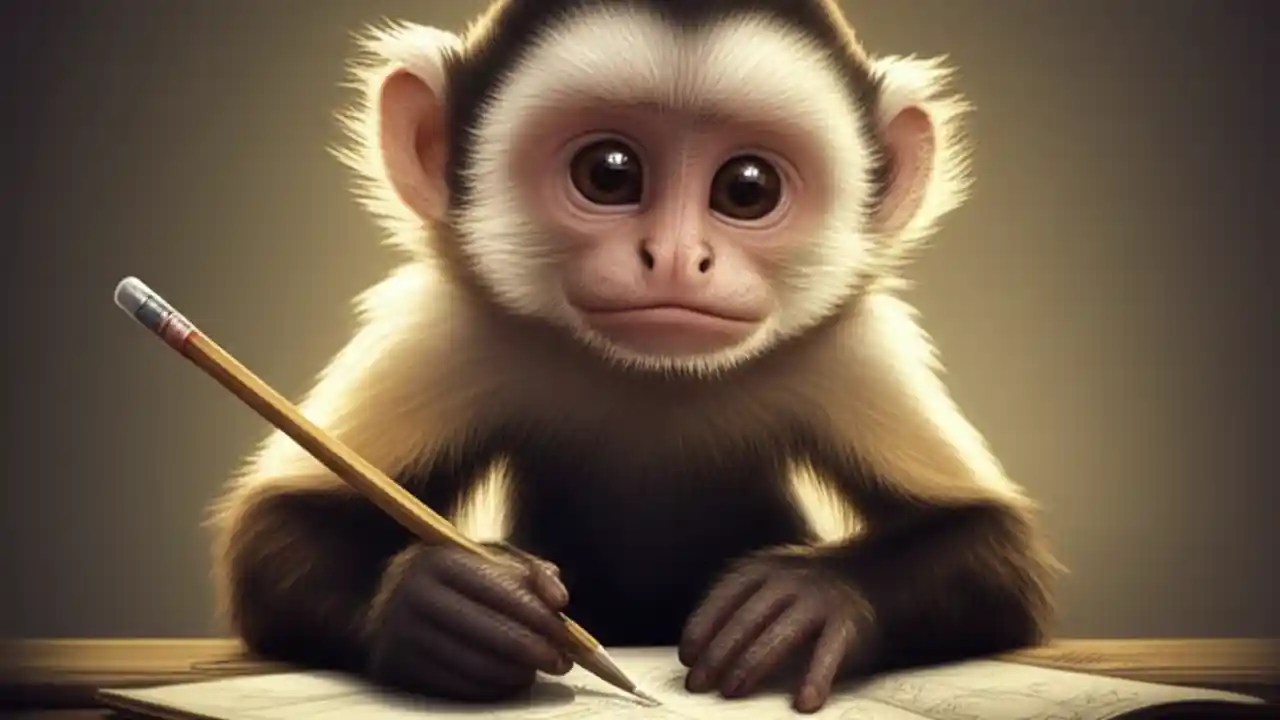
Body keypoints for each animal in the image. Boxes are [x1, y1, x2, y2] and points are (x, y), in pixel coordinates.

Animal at [209, 0, 1060, 714]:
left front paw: (812, 599)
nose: (676, 258)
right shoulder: (451, 327)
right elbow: (281, 527)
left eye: (746, 188)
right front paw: (443, 601)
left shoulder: (848, 346)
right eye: (609, 173)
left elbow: (992, 544)